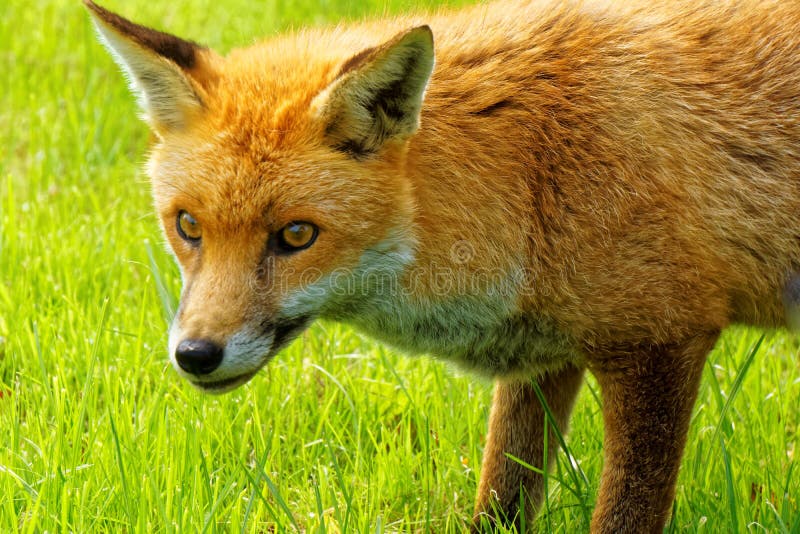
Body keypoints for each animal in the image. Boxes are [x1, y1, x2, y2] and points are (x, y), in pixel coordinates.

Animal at [85, 0, 800, 531]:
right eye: (187, 227)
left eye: (296, 235)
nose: (195, 355)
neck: (531, 178)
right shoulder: (543, 357)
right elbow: (503, 498)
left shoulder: (661, 341)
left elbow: (623, 513)